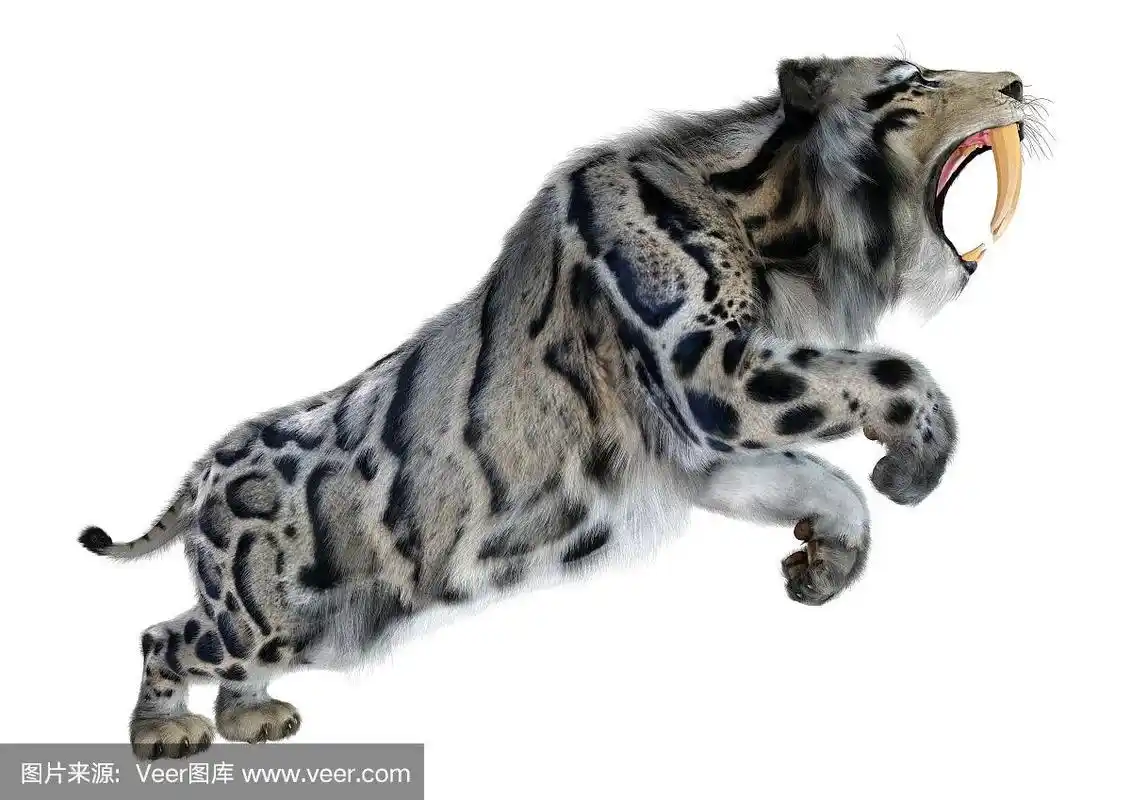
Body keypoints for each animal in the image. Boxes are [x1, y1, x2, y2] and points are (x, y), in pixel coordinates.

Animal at [78, 55, 1039, 759]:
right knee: (161, 634)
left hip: (301, 626)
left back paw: (250, 718)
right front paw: (912, 464)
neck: (782, 230)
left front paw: (828, 558)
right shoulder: (710, 375)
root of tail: (208, 467)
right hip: (268, 615)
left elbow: (819, 481)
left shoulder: (697, 450)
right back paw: (165, 732)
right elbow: (896, 372)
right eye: (914, 77)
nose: (1017, 83)